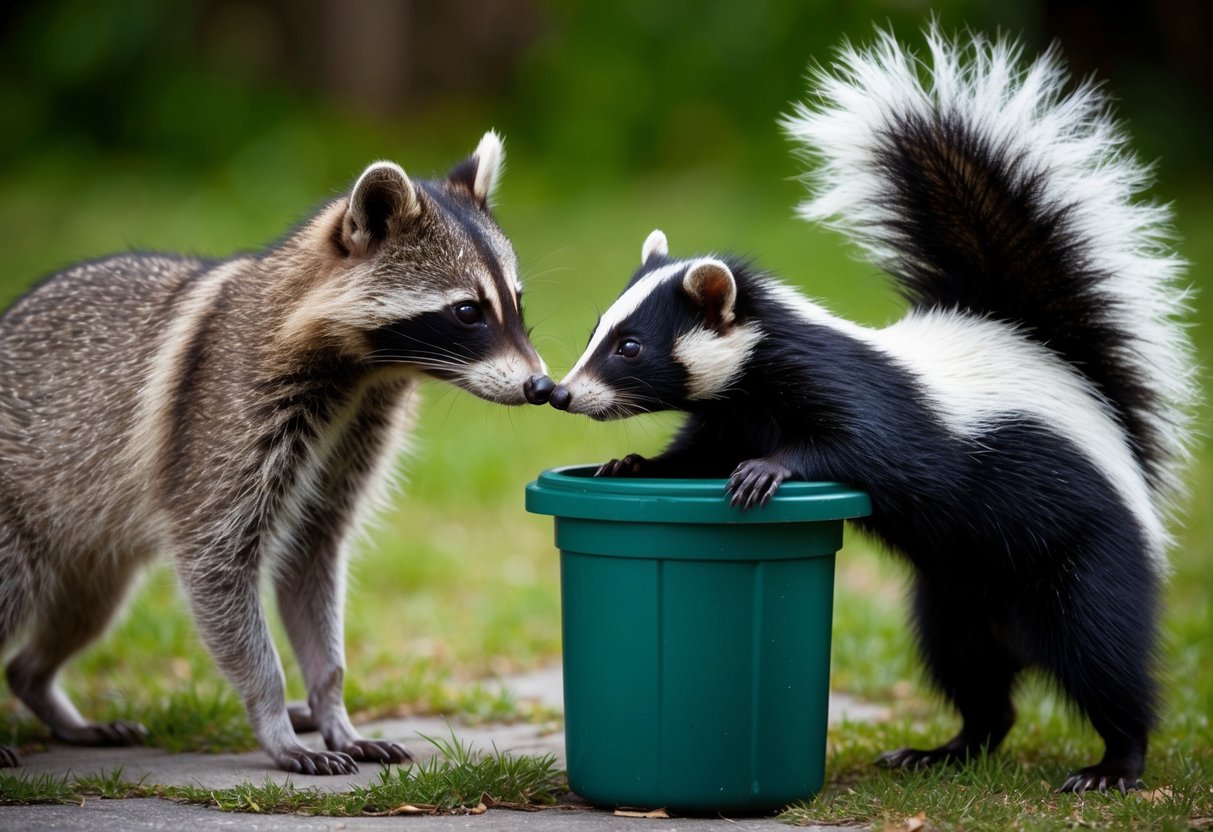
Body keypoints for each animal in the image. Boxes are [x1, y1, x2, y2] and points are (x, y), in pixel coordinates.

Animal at [0, 132, 554, 774]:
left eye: (517, 303)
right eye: (467, 312)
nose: (542, 387)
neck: (365, 370)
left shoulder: (355, 433)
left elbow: (313, 555)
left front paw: (332, 706)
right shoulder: (224, 421)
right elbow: (215, 557)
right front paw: (272, 715)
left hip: (86, 547)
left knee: (81, 614)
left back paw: (41, 687)